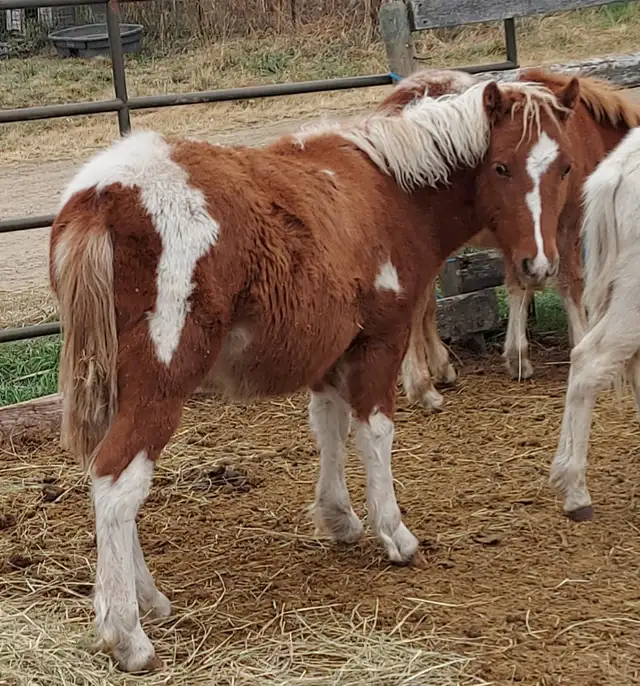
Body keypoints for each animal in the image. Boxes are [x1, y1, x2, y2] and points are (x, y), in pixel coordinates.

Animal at [50, 78, 578, 671]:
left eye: (564, 167)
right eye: (502, 167)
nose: (538, 265)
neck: (387, 190)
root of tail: (100, 197)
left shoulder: (331, 351)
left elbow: (330, 426)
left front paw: (339, 518)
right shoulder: (381, 340)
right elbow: (375, 431)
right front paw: (394, 533)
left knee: (109, 479)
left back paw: (148, 600)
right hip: (160, 384)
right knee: (118, 484)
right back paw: (128, 635)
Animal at [380, 68, 640, 410]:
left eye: (566, 167)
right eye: (500, 167)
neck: (590, 134)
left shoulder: (526, 243)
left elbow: (520, 285)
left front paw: (517, 357)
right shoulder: (563, 229)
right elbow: (570, 282)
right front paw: (576, 339)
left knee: (426, 306)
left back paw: (441, 367)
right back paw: (421, 384)